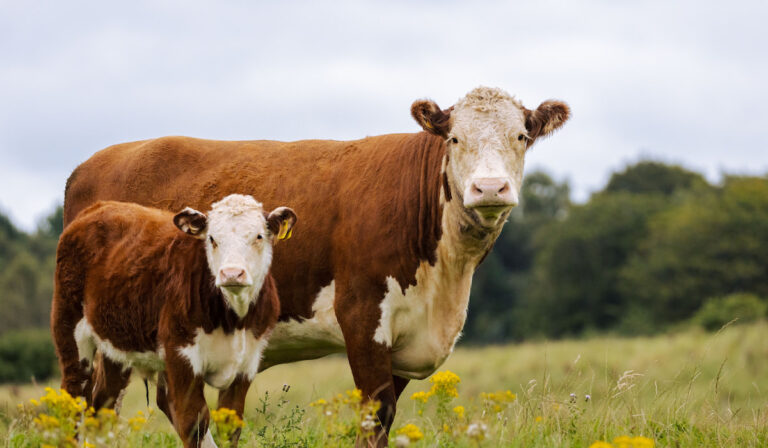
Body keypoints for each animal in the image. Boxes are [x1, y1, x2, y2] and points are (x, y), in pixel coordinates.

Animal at [51, 194, 296, 448]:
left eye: (258, 236)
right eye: (212, 238)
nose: (231, 273)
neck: (233, 319)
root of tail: (99, 207)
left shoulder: (247, 362)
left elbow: (230, 427)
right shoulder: (180, 354)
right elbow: (194, 422)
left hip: (116, 346)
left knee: (104, 405)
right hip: (70, 329)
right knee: (74, 397)